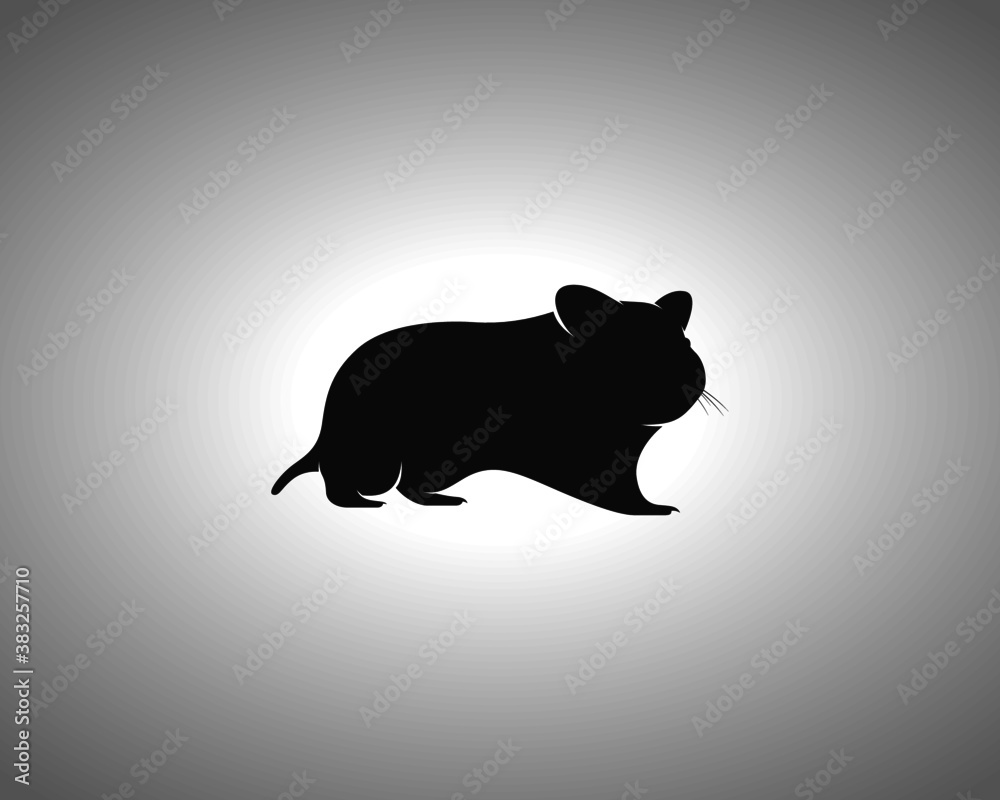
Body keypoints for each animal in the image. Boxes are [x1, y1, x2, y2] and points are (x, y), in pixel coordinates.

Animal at [272, 285, 714, 515]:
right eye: (632, 345)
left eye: (686, 343)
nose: (685, 374)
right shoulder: (585, 457)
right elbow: (611, 493)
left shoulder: (621, 458)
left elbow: (631, 490)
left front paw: (656, 509)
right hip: (373, 454)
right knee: (343, 483)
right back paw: (364, 505)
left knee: (407, 485)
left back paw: (441, 500)